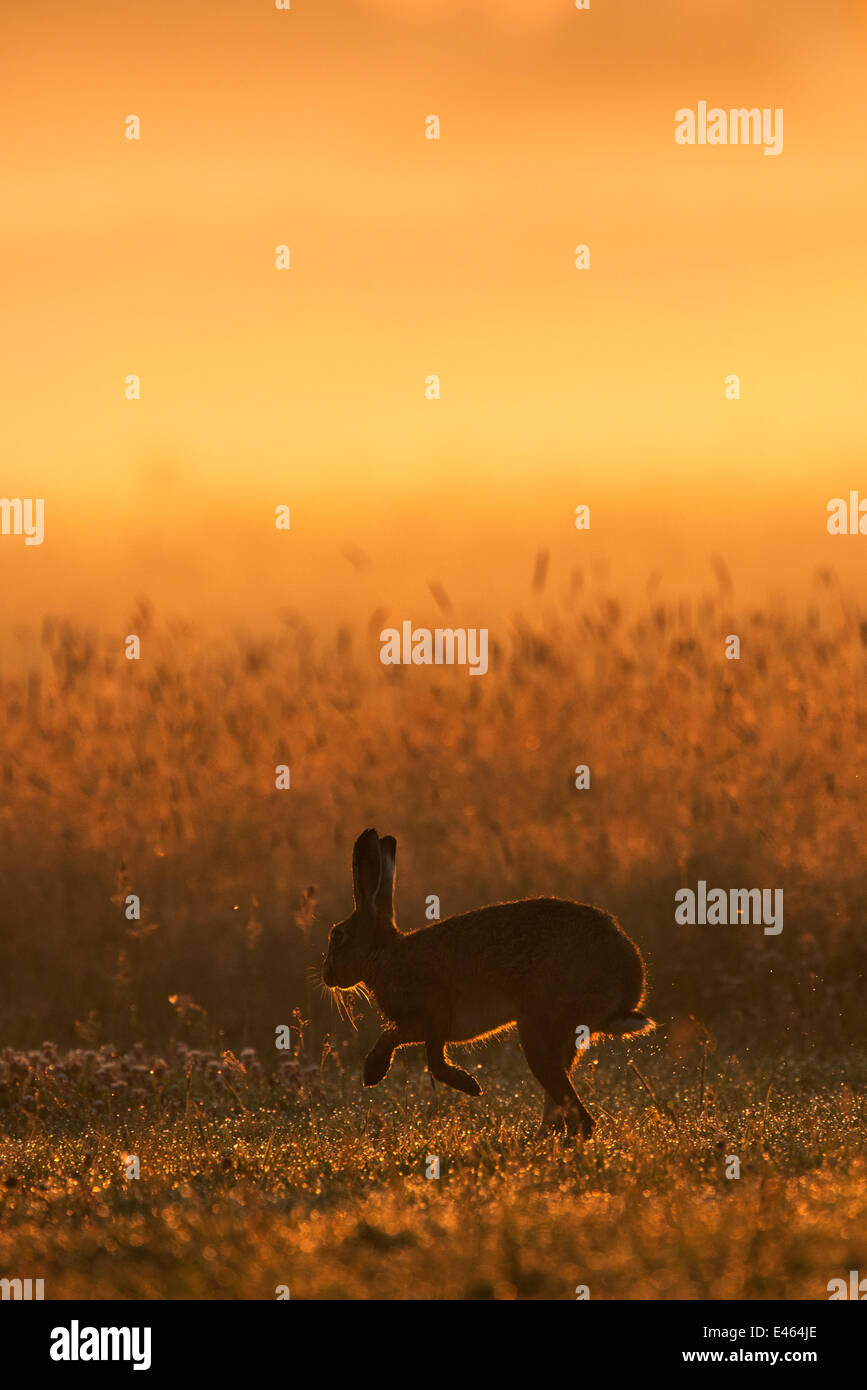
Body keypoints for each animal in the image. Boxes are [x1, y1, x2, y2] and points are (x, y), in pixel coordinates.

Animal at [322, 828, 656, 1137]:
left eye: (337, 937)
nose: (326, 975)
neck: (380, 955)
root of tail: (628, 984)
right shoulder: (417, 1025)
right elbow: (394, 1037)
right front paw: (373, 1072)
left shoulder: (435, 1005)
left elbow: (433, 1058)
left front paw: (469, 1086)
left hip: (538, 1029)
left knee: (580, 1117)